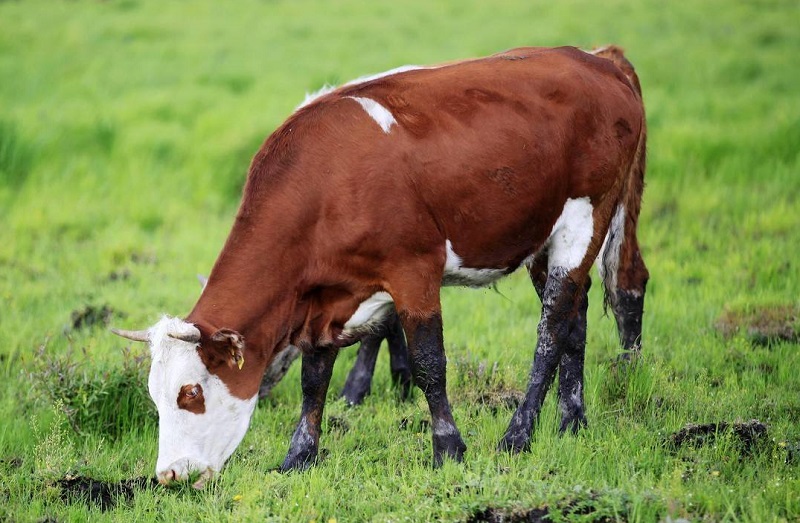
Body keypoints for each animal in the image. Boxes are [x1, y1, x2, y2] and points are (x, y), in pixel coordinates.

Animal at [112, 45, 648, 488]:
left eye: (190, 393)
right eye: (154, 397)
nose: (170, 475)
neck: (328, 182)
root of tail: (597, 59)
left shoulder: (414, 271)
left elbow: (430, 364)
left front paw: (448, 448)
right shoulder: (326, 297)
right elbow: (315, 376)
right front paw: (299, 456)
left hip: (586, 216)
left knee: (555, 325)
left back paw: (519, 433)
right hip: (545, 235)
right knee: (575, 317)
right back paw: (571, 421)